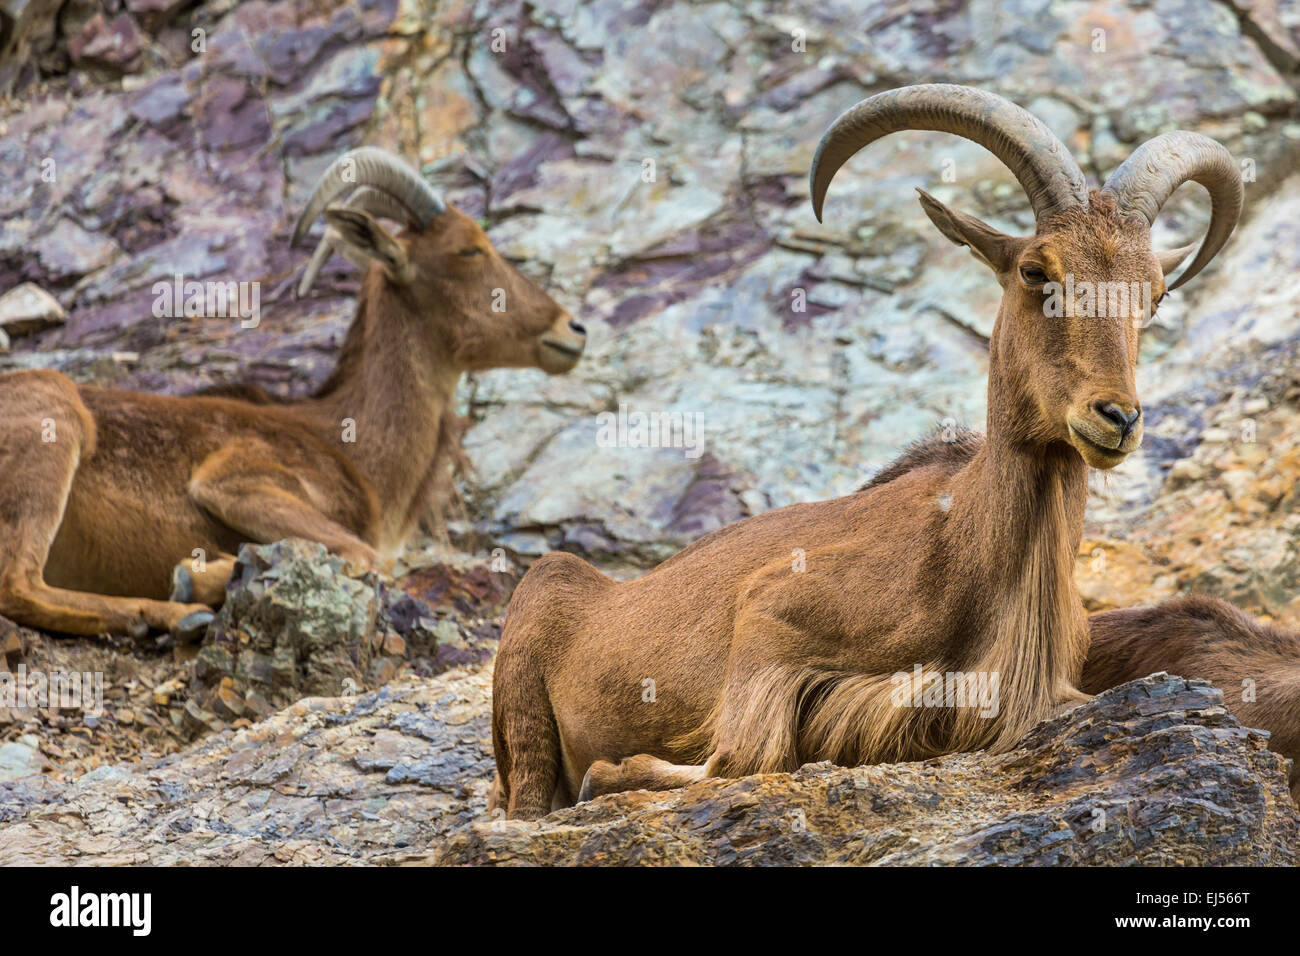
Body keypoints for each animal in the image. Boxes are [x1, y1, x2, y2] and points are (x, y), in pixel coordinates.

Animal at [0, 148, 587, 640]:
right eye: (469, 249)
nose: (572, 329)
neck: (349, 442)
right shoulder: (235, 480)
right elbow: (364, 555)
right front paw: (198, 578)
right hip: (54, 429)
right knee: (18, 585)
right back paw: (167, 613)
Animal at [490, 84, 1243, 818]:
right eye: (1035, 271)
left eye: (1155, 294)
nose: (1117, 417)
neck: (966, 545)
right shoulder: (768, 618)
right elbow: (743, 757)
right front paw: (613, 774)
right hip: (535, 646)